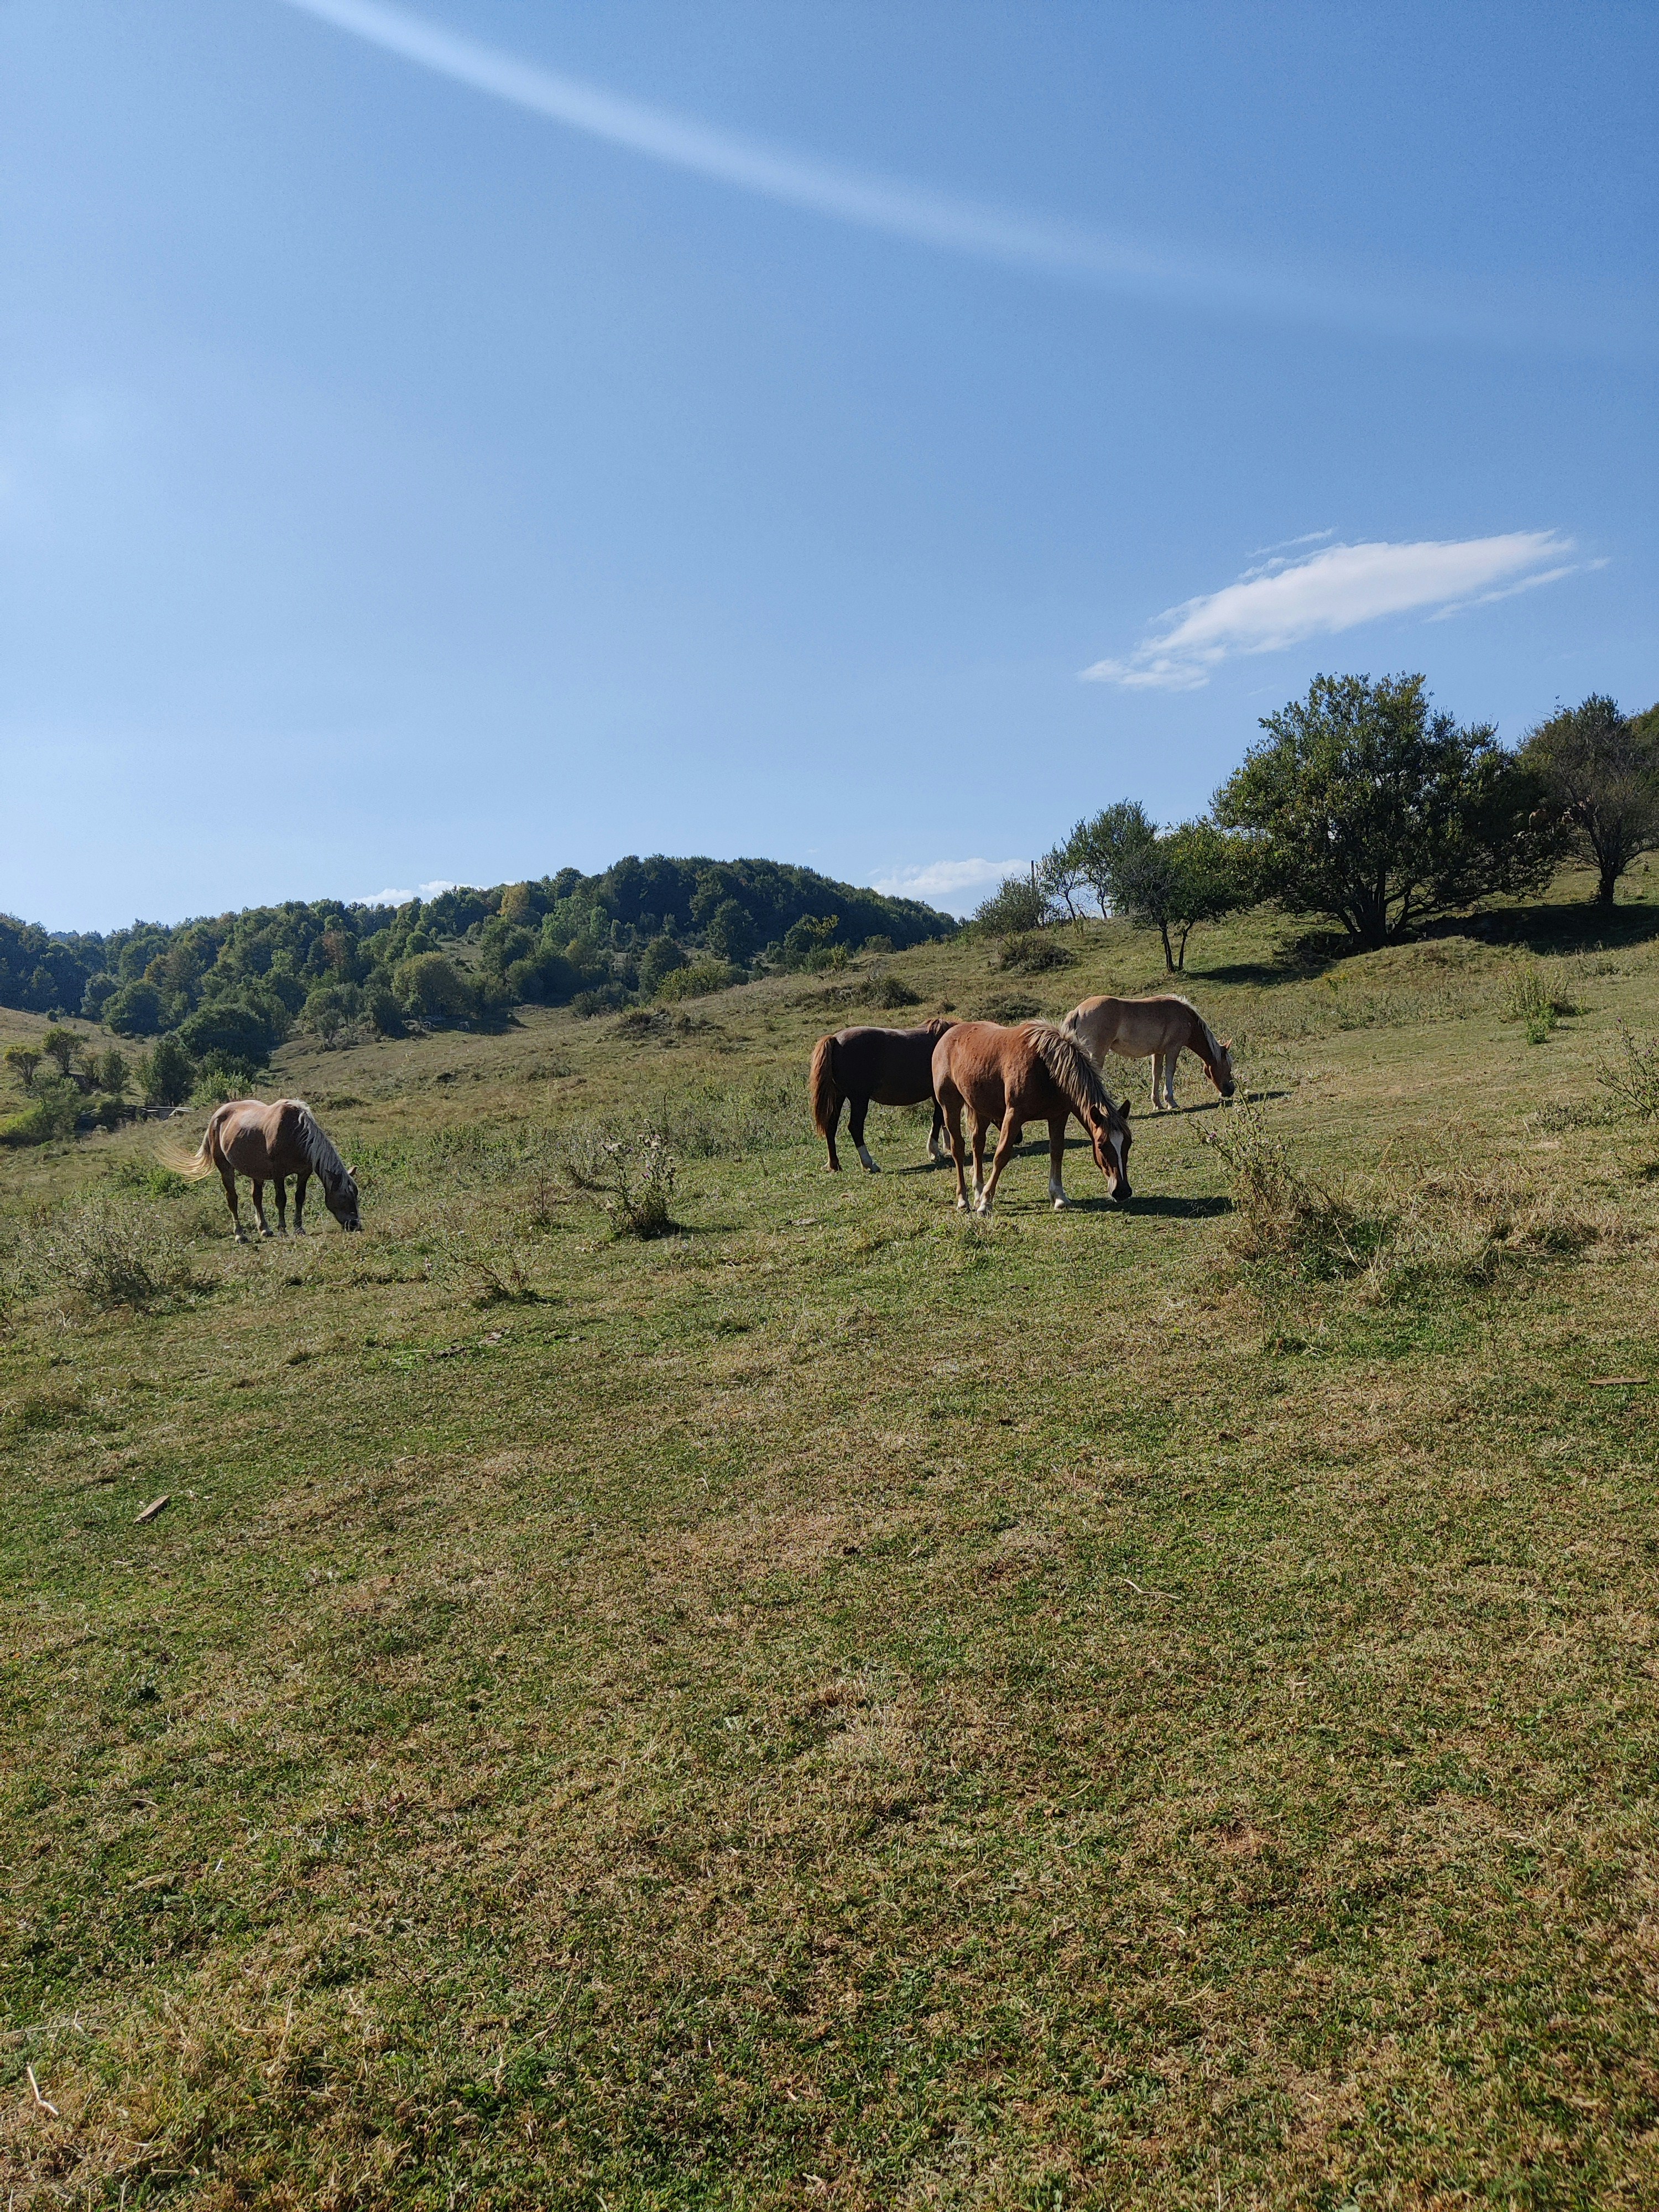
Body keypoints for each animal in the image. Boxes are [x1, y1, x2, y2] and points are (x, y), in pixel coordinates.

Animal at [175, 1098, 361, 1240]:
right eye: (343, 1197)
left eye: (356, 1194)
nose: (355, 1225)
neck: (295, 1134)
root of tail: (216, 1116)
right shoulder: (278, 1174)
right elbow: (281, 1200)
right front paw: (283, 1230)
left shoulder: (304, 1173)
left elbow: (299, 1198)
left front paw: (299, 1229)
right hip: (225, 1167)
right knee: (232, 1199)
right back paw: (240, 1235)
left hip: (256, 1172)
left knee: (256, 1198)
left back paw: (264, 1229)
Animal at [809, 1018, 957, 1172]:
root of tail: (835, 1040)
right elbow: (938, 1119)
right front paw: (935, 1152)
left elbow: (943, 1121)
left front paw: (947, 1148)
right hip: (859, 1100)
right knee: (855, 1127)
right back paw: (869, 1164)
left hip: (839, 1097)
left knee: (831, 1126)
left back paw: (834, 1165)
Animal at [930, 1021, 1133, 1215]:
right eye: (1101, 1145)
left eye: (1128, 1143)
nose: (1122, 1191)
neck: (1045, 1066)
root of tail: (948, 1034)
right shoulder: (1014, 1115)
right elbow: (1001, 1156)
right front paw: (986, 1203)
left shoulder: (1058, 1116)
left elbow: (1057, 1151)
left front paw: (1059, 1197)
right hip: (950, 1106)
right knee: (958, 1148)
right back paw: (963, 1200)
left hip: (981, 1109)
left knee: (977, 1145)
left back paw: (978, 1193)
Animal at [1061, 994, 1235, 1112]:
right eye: (1228, 1067)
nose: (1230, 1091)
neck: (1184, 1015)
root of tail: (1078, 1011)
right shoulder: (1173, 1049)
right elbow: (1170, 1072)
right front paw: (1171, 1102)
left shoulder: (1157, 1053)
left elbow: (1156, 1074)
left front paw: (1157, 1104)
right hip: (1096, 1056)